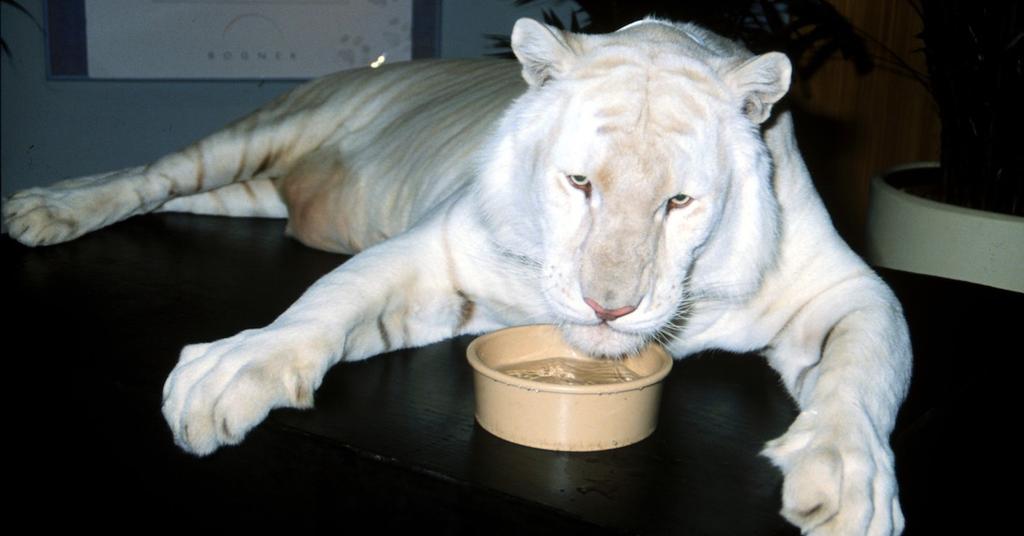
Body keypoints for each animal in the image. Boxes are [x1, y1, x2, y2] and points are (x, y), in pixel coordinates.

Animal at [2, 18, 911, 536]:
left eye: (679, 202)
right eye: (579, 183)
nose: (608, 309)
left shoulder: (848, 293)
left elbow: (863, 374)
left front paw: (844, 481)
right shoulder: (434, 249)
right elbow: (327, 301)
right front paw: (227, 374)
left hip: (248, 192)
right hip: (261, 131)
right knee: (146, 175)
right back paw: (42, 208)